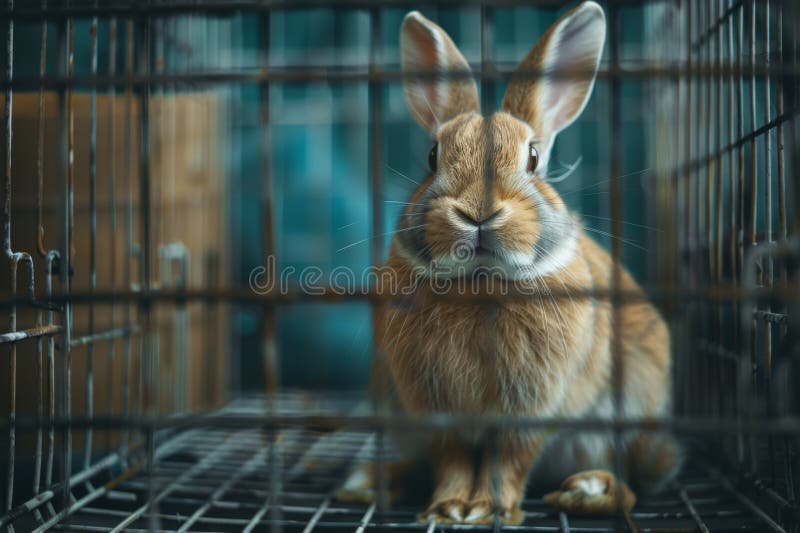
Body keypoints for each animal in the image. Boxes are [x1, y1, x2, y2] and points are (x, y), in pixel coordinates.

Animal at [337, 1, 681, 525]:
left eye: (534, 158)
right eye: (432, 156)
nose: (478, 212)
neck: (482, 282)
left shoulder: (531, 409)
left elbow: (509, 460)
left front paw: (486, 510)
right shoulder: (433, 409)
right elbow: (453, 459)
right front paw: (447, 509)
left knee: (635, 485)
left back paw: (590, 491)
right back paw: (371, 484)